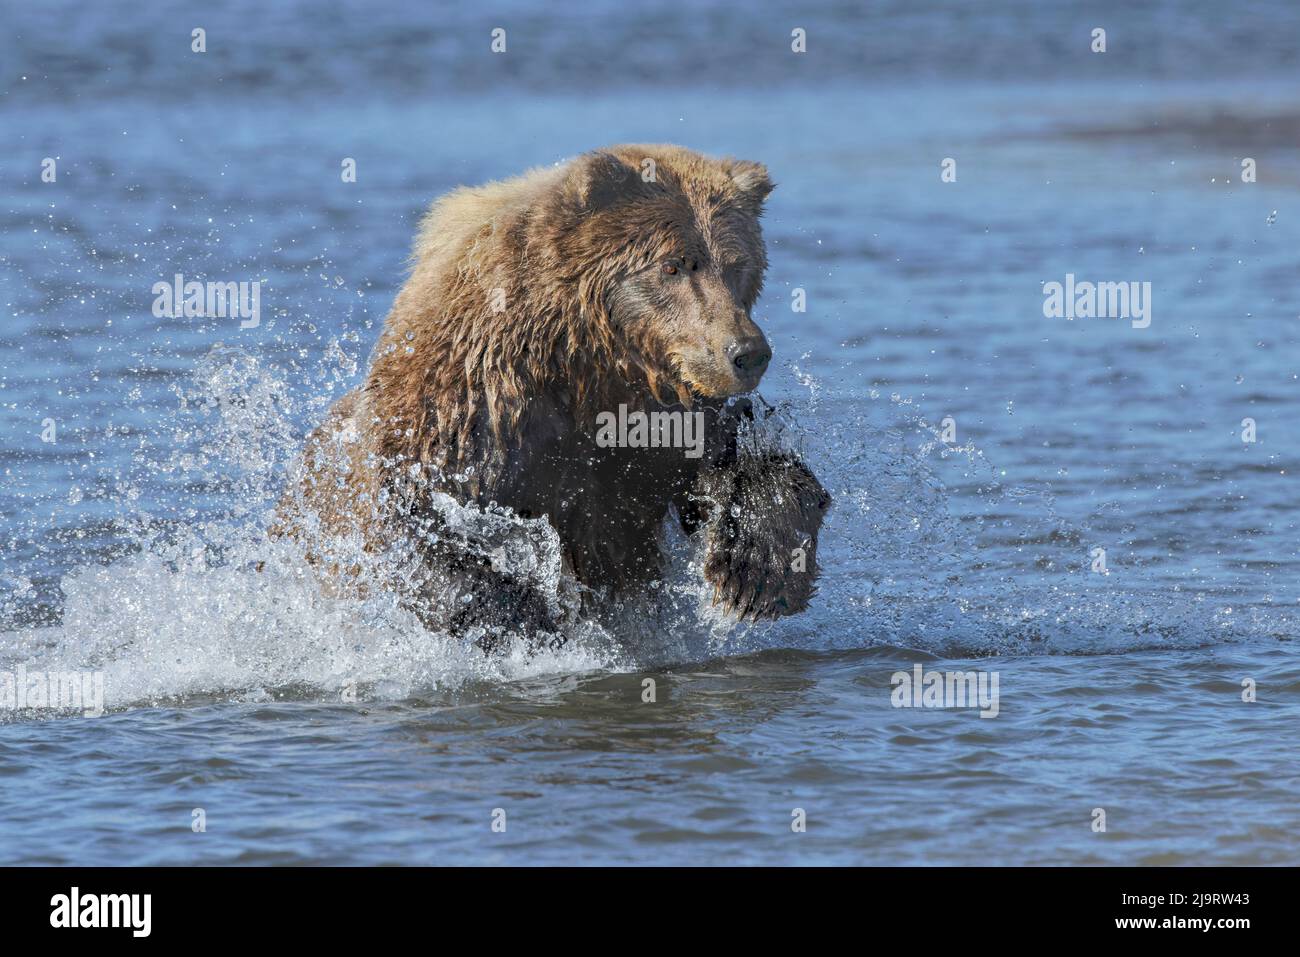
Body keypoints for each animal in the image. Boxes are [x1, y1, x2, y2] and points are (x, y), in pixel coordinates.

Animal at [273, 144, 830, 650]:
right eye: (674, 265)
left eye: (737, 265)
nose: (746, 353)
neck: (589, 364)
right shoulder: (472, 409)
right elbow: (422, 521)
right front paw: (524, 615)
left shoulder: (663, 427)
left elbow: (733, 475)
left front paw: (758, 569)